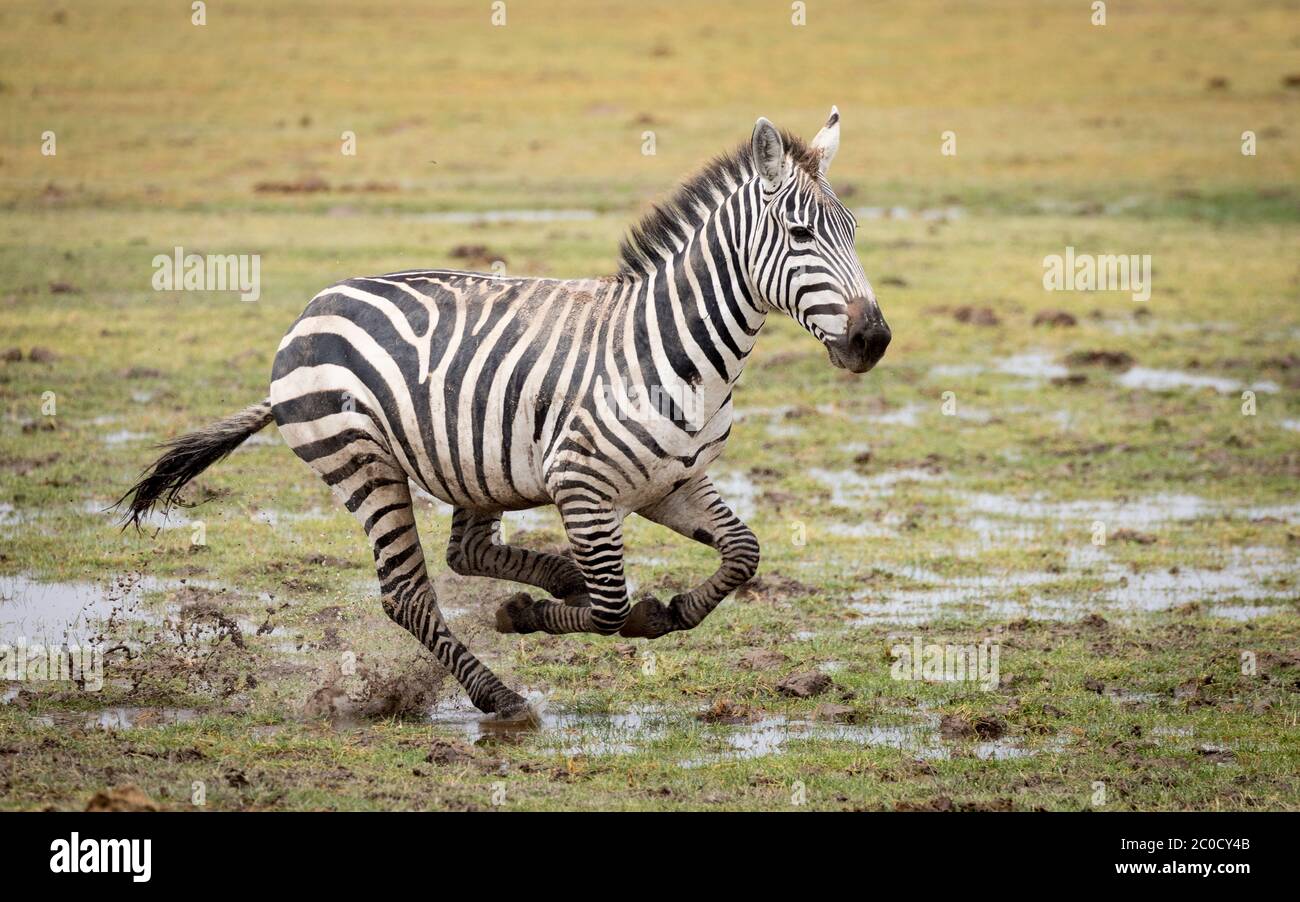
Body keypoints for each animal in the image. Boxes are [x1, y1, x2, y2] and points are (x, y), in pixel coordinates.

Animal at [119, 108, 891, 718]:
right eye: (798, 234)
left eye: (854, 231)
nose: (873, 339)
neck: (681, 355)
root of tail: (315, 305)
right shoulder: (583, 488)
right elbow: (611, 607)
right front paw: (533, 616)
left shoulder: (670, 484)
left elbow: (743, 555)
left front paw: (670, 611)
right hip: (363, 463)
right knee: (409, 595)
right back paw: (498, 694)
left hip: (476, 463)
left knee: (466, 552)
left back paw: (549, 587)